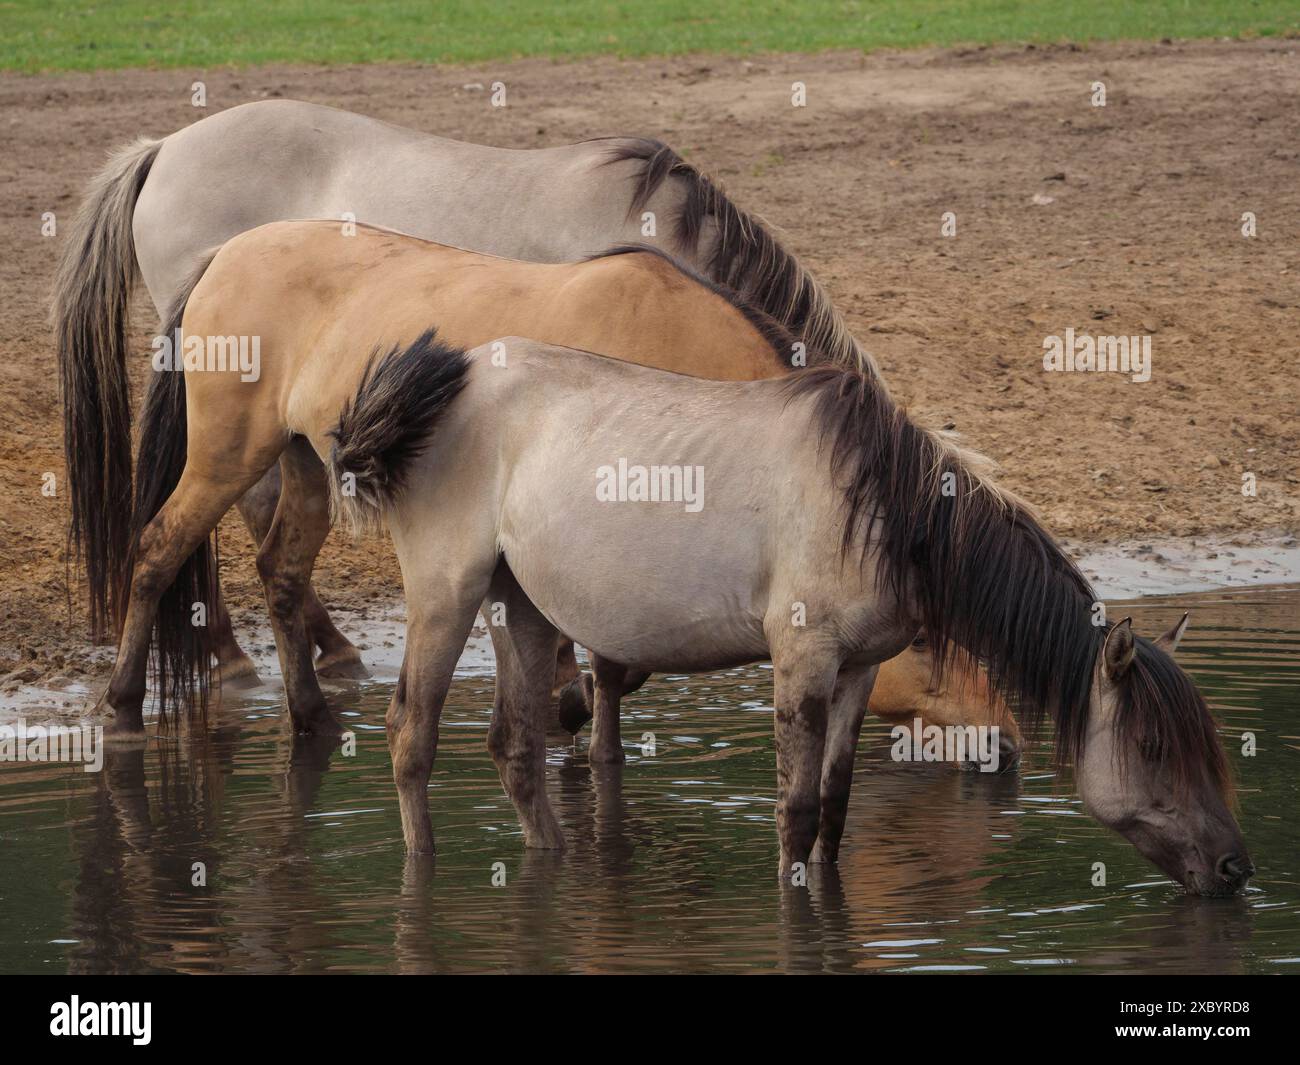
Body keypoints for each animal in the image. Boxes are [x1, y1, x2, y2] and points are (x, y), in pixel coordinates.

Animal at [102, 225, 1249, 895]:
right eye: (1156, 752)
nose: (1238, 867)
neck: (877, 502)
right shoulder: (797, 666)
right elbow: (792, 812)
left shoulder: (853, 672)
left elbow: (833, 811)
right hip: (411, 571)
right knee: (397, 726)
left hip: (494, 588)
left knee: (495, 738)